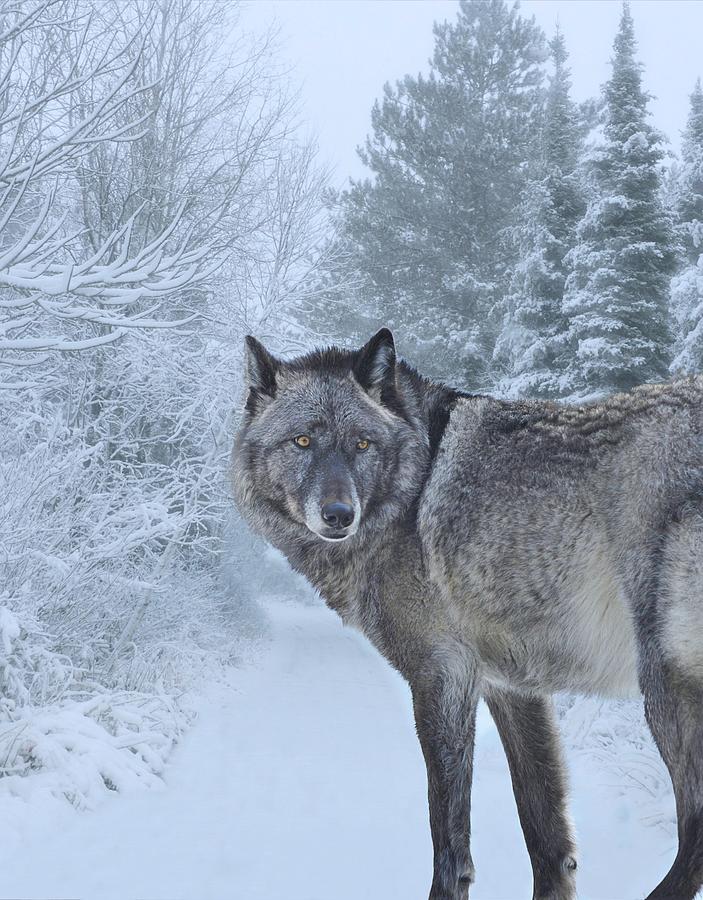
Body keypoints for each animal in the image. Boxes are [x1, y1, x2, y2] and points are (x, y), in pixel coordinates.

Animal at [232, 327, 703, 900]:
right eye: (302, 442)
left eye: (362, 444)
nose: (339, 515)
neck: (411, 494)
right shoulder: (514, 689)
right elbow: (547, 840)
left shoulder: (443, 675)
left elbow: (448, 834)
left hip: (663, 686)